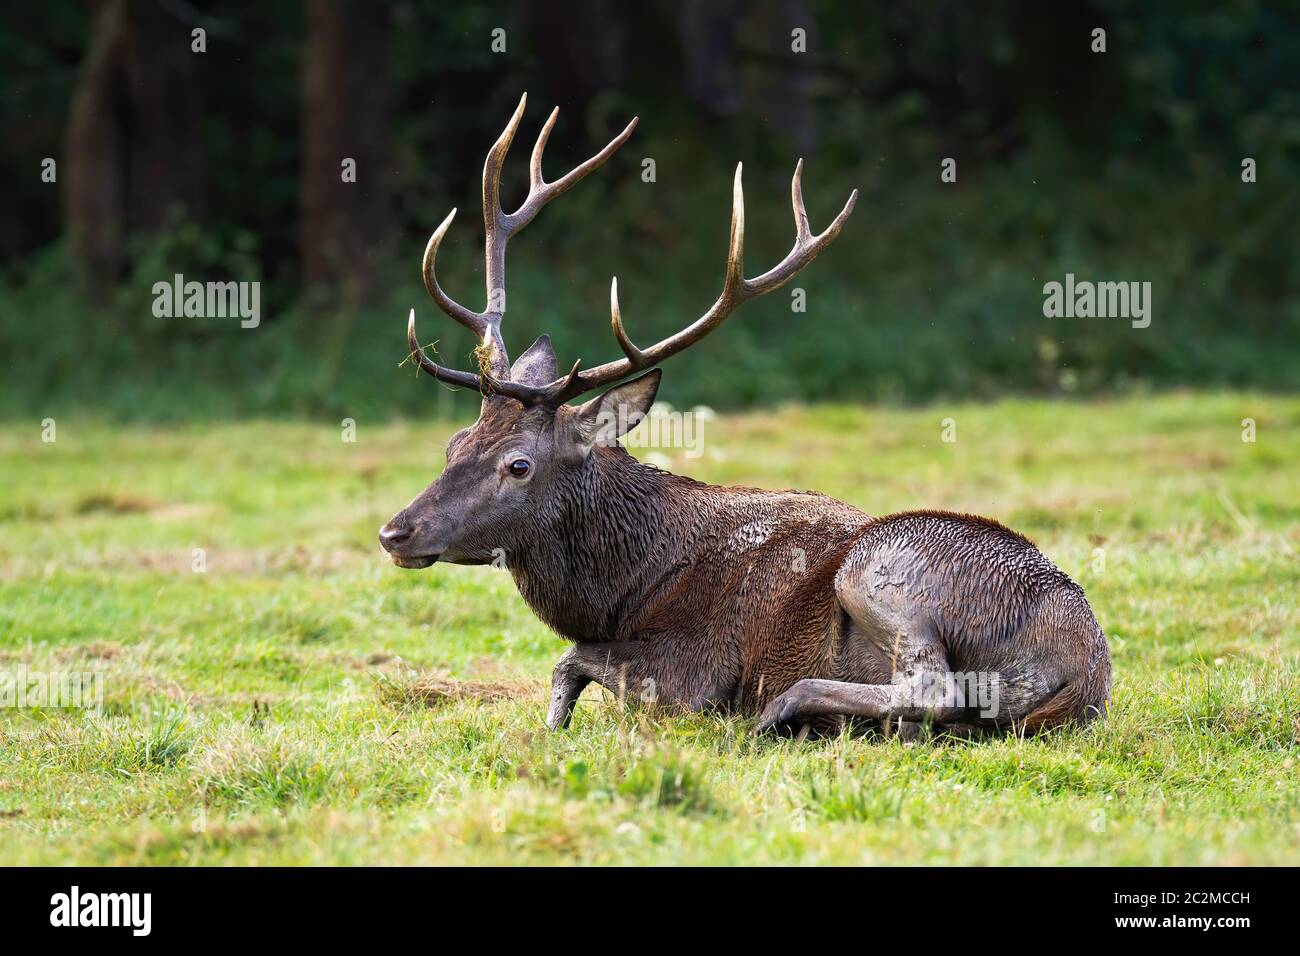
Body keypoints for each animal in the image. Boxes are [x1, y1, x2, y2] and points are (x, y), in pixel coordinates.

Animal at [380, 94, 1112, 740]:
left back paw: (783, 710)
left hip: (888, 562)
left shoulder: (693, 667)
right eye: (452, 443)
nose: (394, 532)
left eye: (518, 465)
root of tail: (1086, 670)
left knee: (935, 688)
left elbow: (571, 661)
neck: (621, 593)